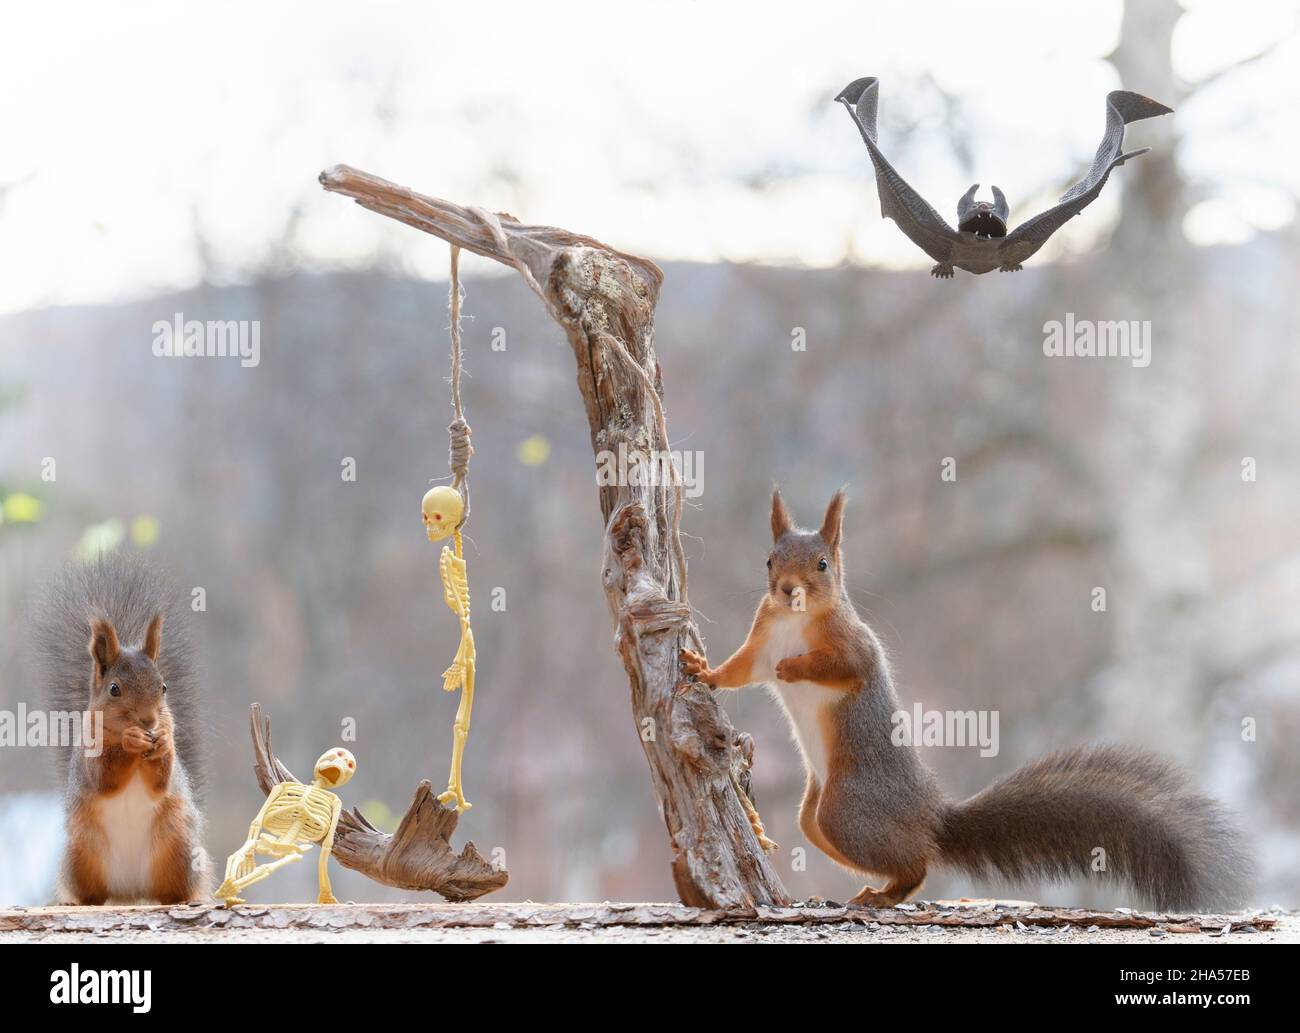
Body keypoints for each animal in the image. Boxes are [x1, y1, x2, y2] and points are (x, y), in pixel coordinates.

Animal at [32, 552, 210, 904]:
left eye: (164, 687)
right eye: (114, 689)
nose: (149, 722)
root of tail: (130, 891)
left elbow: (160, 783)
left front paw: (163, 742)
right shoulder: (88, 757)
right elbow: (104, 778)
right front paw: (130, 740)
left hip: (179, 849)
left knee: (171, 890)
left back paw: (183, 898)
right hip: (82, 854)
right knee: (91, 894)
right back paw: (79, 901)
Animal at [680, 488, 1251, 910]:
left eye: (822, 564)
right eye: (769, 559)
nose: (788, 589)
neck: (794, 622)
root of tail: (931, 815)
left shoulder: (853, 647)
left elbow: (844, 668)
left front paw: (793, 668)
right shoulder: (761, 638)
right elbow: (740, 670)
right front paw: (702, 671)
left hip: (847, 810)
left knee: (918, 862)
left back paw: (886, 893)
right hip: (820, 814)